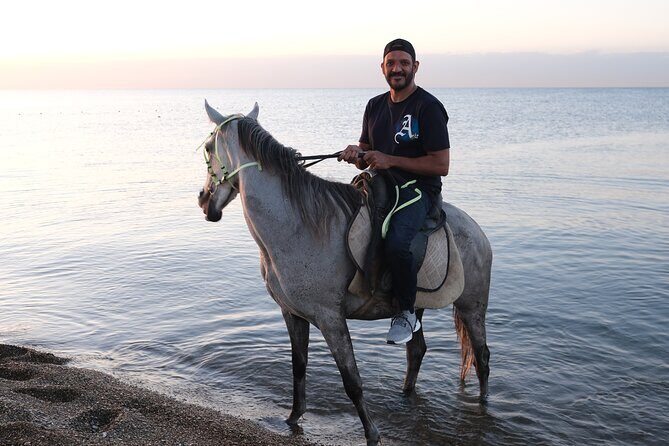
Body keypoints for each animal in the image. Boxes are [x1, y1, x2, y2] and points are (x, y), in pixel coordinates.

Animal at [197, 101, 492, 446]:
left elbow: (351, 380)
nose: (203, 199)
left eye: (208, 147)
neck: (297, 225)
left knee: (482, 359)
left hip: (471, 306)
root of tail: (477, 231)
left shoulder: (330, 318)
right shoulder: (292, 313)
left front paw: (372, 434)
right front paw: (293, 418)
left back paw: (483, 407)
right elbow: (299, 366)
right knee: (416, 351)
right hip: (417, 305)